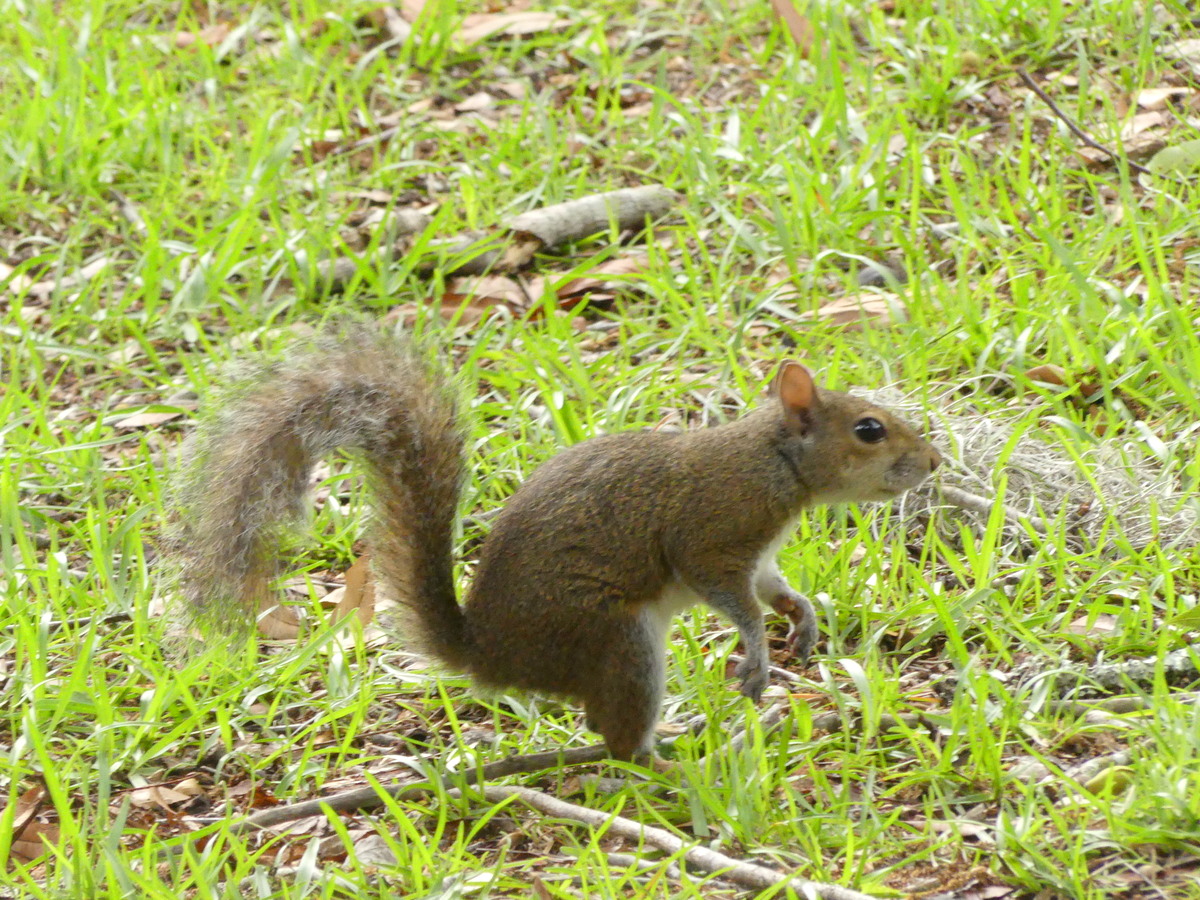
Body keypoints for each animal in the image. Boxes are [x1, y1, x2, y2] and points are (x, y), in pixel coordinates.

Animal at [170, 326, 941, 763]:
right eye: (869, 430)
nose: (933, 462)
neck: (776, 462)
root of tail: (491, 656)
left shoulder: (759, 555)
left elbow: (773, 589)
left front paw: (801, 619)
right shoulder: (713, 534)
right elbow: (733, 597)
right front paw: (756, 653)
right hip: (617, 640)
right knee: (620, 744)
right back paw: (675, 761)